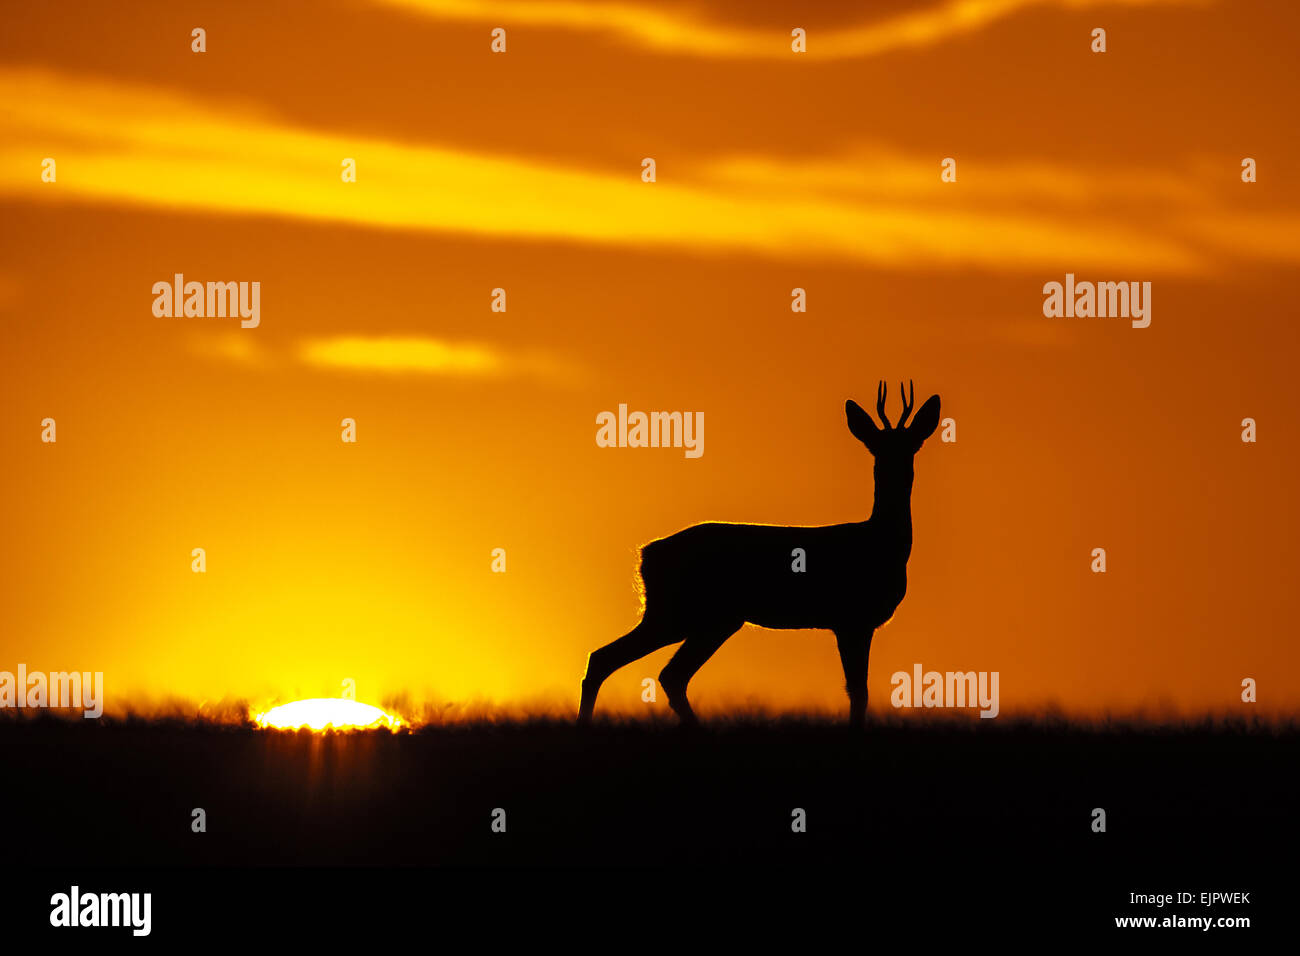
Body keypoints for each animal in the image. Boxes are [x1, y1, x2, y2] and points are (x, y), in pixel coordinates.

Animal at [577, 381, 941, 728]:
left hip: (709, 619)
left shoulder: (853, 622)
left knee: (658, 671)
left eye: (913, 444)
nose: (896, 467)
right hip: (681, 613)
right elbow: (858, 691)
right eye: (876, 446)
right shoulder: (852, 619)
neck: (881, 543)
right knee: (618, 661)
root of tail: (645, 554)